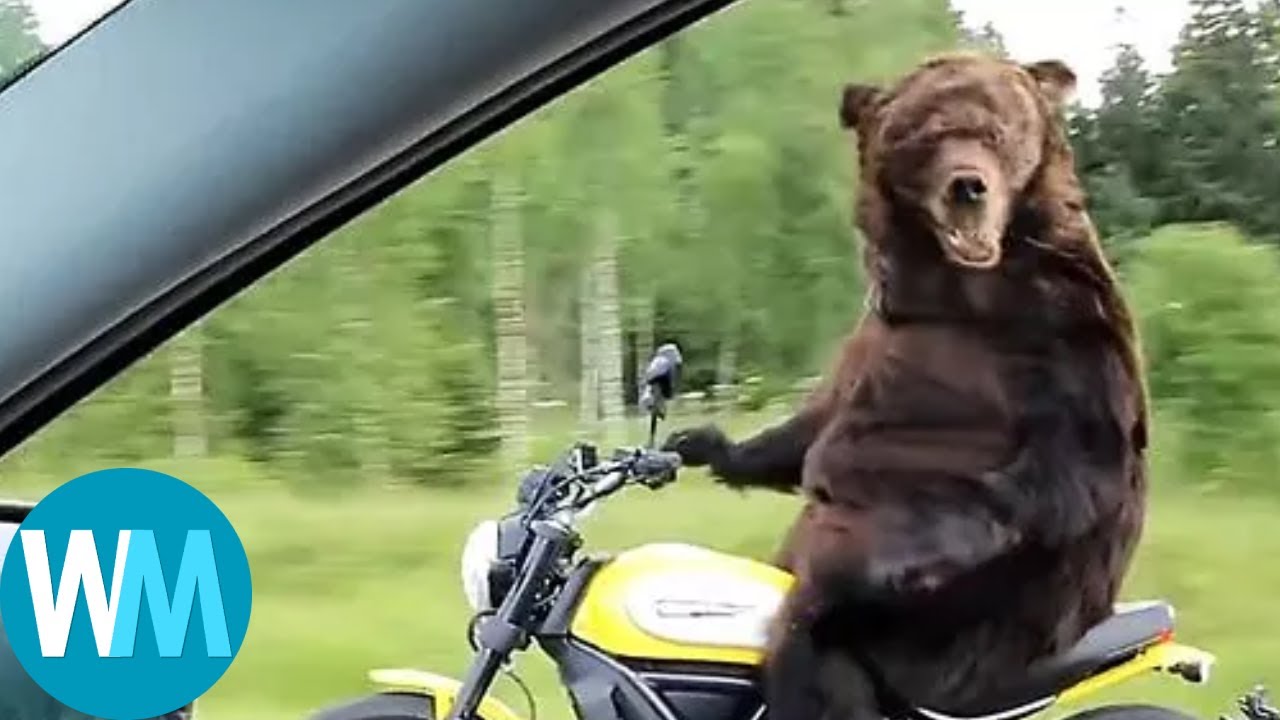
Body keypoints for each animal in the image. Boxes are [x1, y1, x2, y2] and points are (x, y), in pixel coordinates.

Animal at [662, 52, 1149, 720]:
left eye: (996, 131)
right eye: (926, 136)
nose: (967, 186)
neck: (955, 284)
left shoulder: (1065, 327)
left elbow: (1068, 467)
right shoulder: (875, 337)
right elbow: (818, 421)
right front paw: (708, 444)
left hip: (949, 639)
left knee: (818, 648)